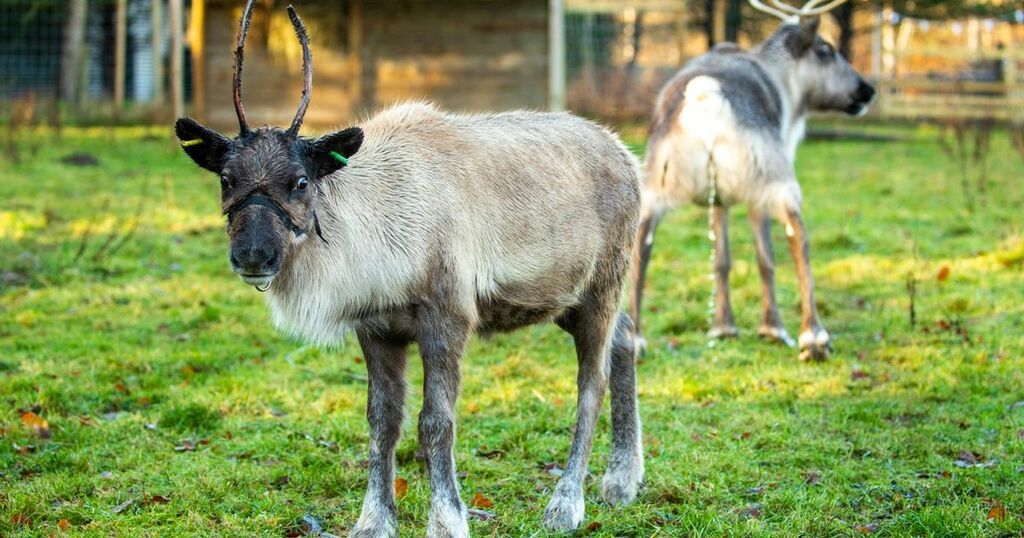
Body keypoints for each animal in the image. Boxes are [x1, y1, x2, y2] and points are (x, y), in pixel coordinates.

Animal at [173, 2, 644, 536]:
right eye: (226, 179)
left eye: (300, 181)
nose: (254, 255)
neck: (378, 235)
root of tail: (627, 155)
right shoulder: (377, 328)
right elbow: (382, 421)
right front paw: (373, 521)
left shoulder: (449, 315)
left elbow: (435, 422)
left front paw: (448, 519)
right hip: (569, 298)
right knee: (627, 338)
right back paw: (622, 480)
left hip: (602, 286)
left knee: (593, 380)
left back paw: (567, 502)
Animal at [630, 0, 875, 360]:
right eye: (826, 50)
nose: (867, 90)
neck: (786, 86)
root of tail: (706, 95)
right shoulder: (755, 194)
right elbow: (766, 259)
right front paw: (771, 327)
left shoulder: (719, 198)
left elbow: (722, 261)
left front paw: (723, 326)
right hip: (772, 180)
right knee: (798, 239)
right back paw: (814, 337)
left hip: (653, 186)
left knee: (638, 251)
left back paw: (634, 339)